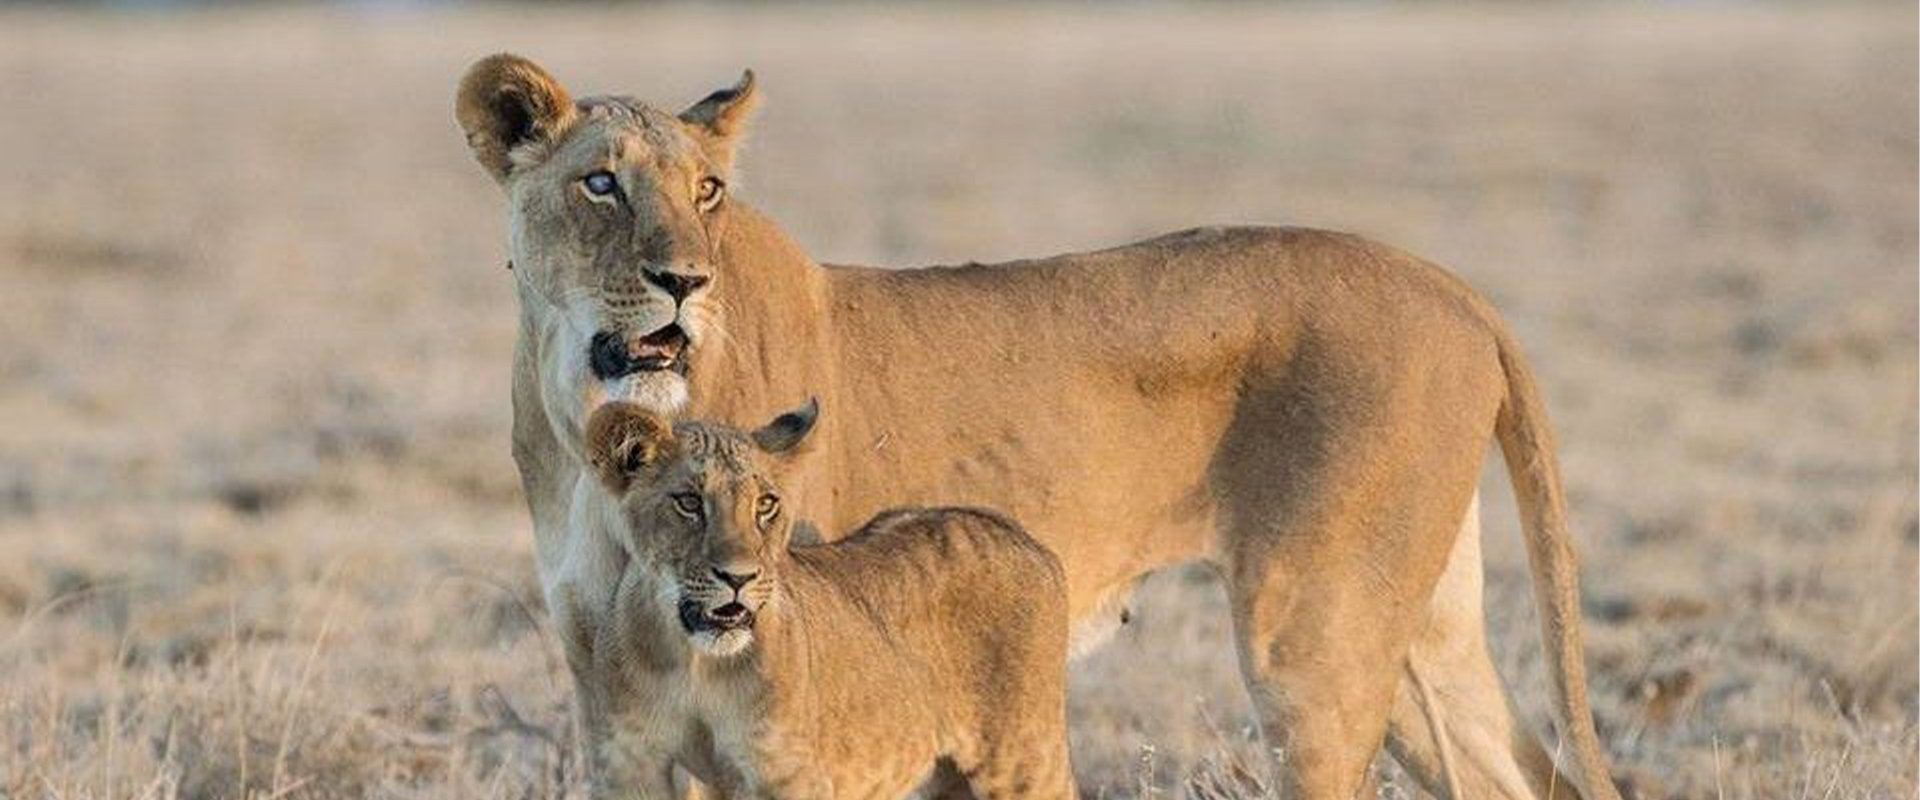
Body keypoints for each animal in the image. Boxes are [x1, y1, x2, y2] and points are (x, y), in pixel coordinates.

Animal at [580, 399, 1074, 800]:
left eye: (765, 504)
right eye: (688, 502)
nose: (739, 578)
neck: (695, 663)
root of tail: (1020, 534)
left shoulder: (787, 771)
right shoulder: (630, 762)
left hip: (1023, 756)